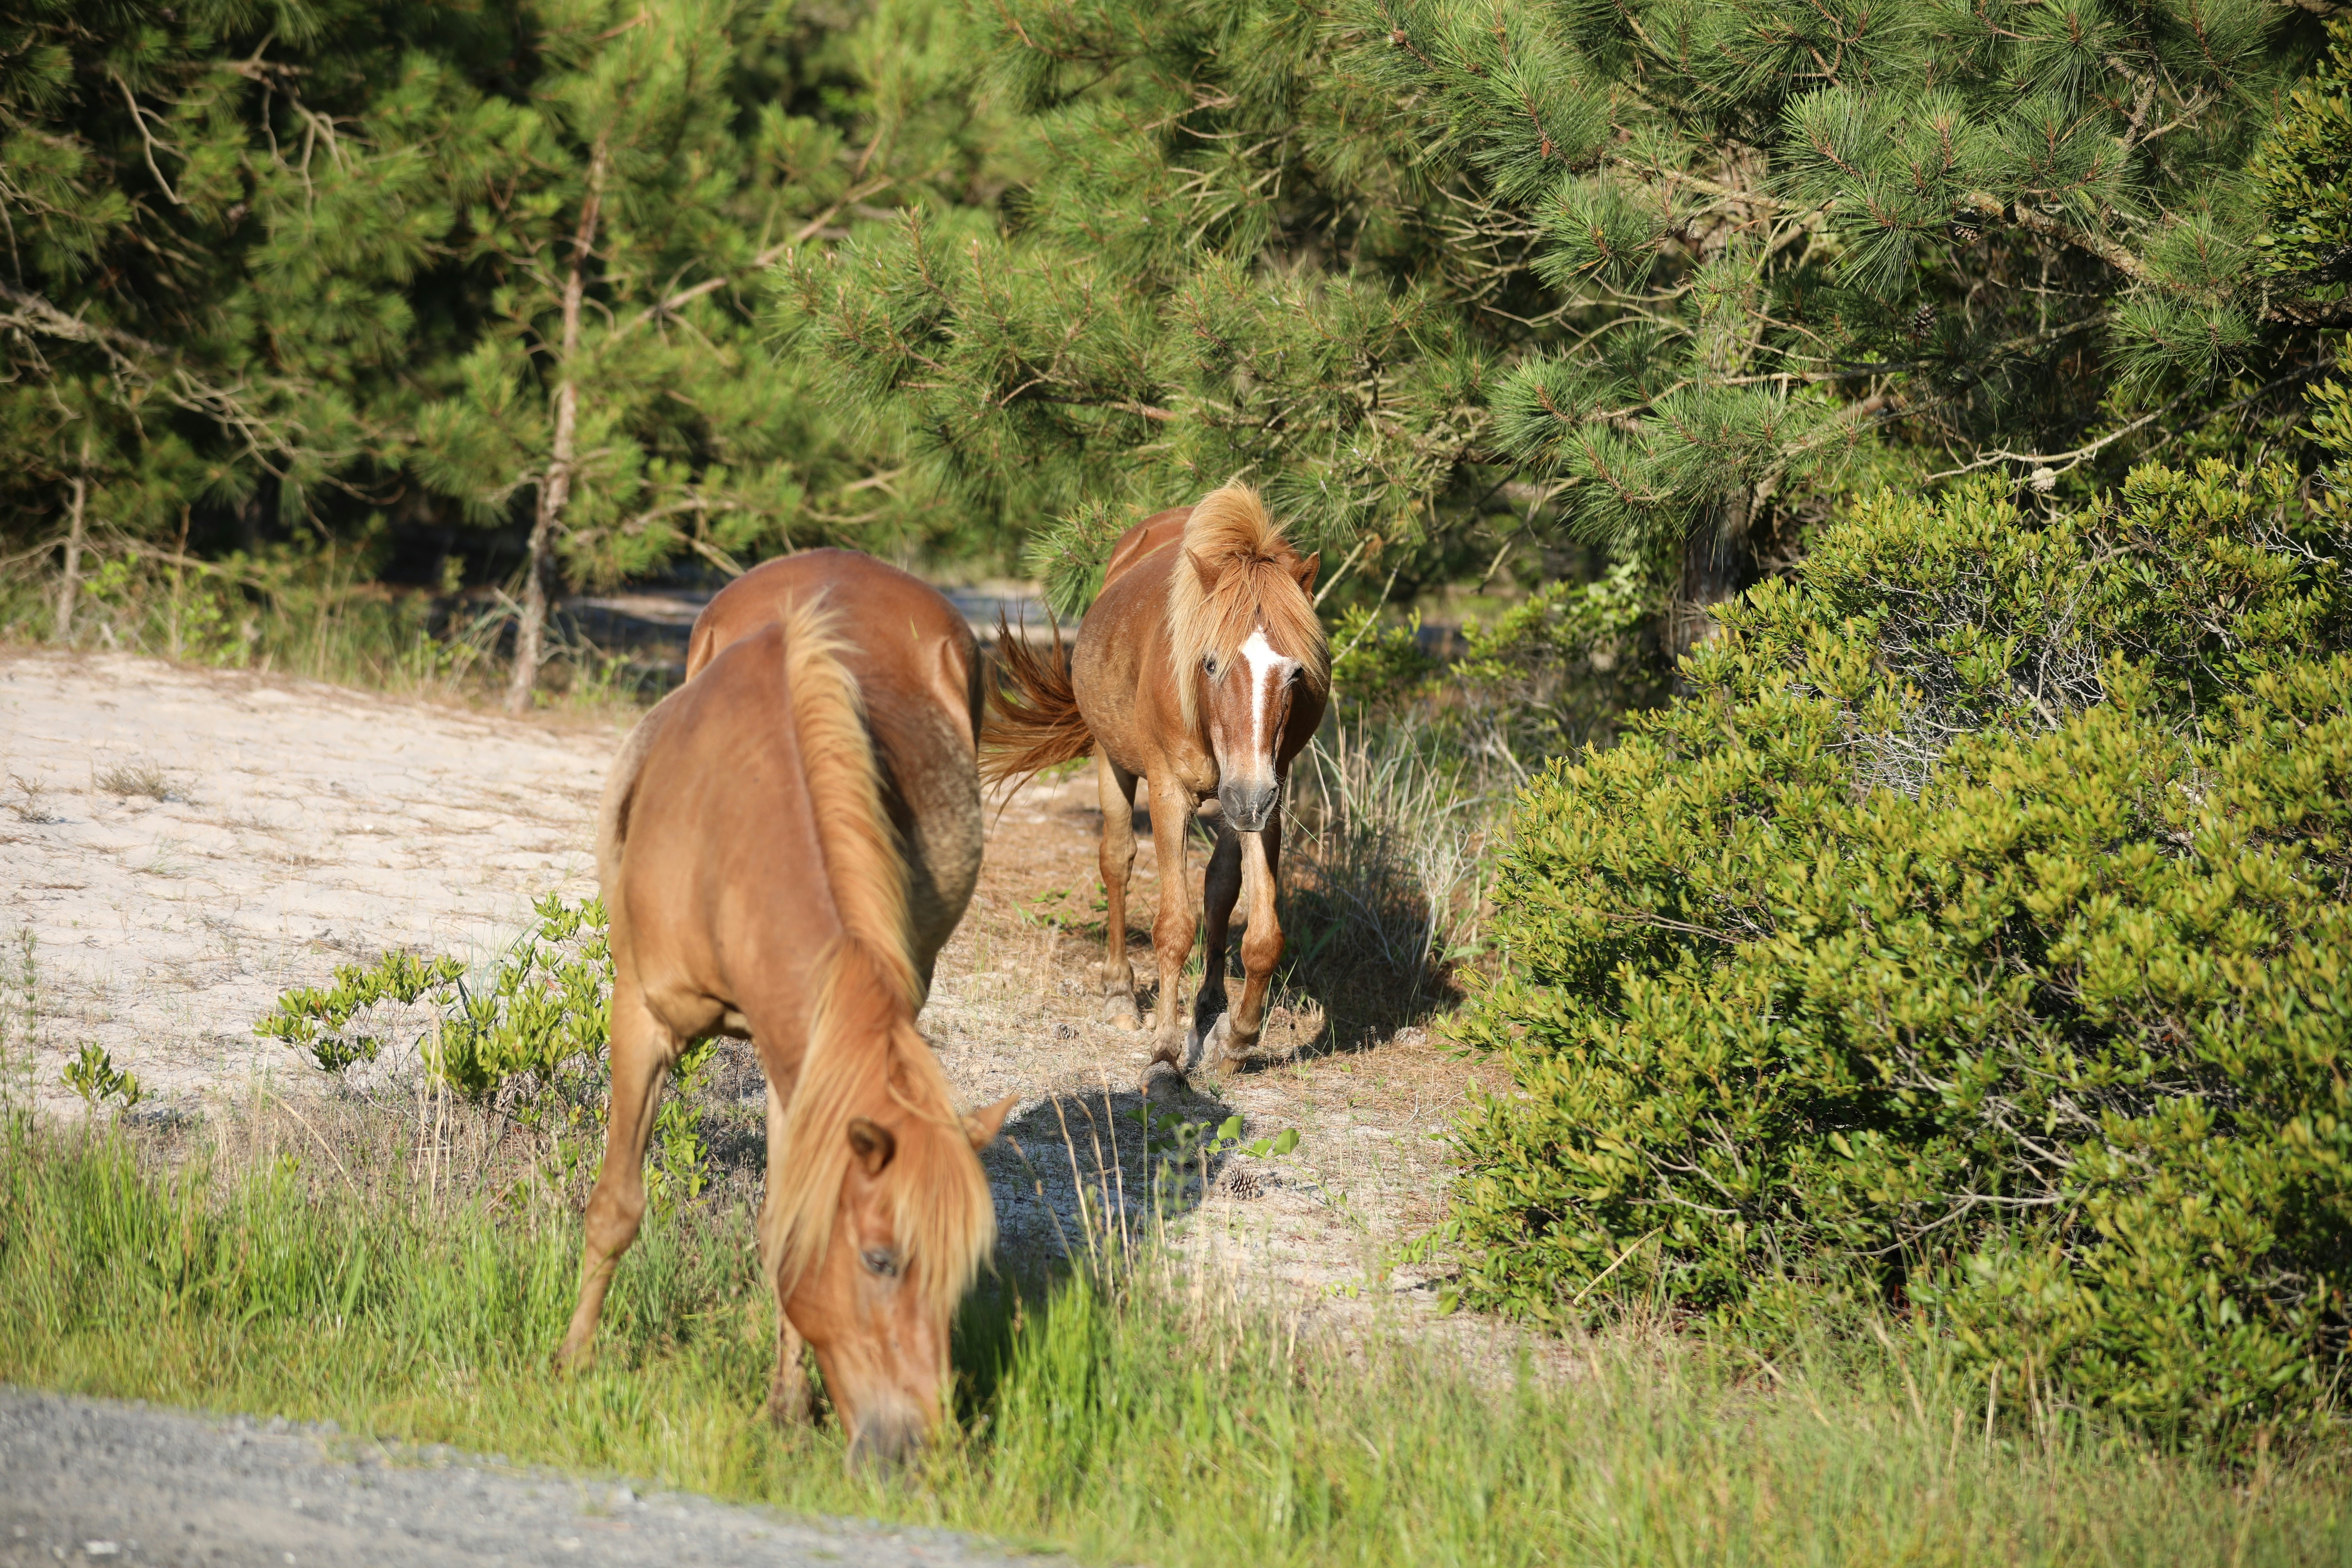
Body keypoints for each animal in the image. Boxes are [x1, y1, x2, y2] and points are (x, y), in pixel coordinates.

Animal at [556, 551, 1014, 1467]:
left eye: (961, 1275)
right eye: (881, 1260)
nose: (915, 1447)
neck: (734, 834)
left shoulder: (801, 1058)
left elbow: (783, 1227)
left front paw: (784, 1406)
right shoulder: (641, 1017)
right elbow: (616, 1204)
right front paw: (572, 1360)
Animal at [984, 481, 1328, 1093]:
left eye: (1295, 674)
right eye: (1210, 664)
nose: (1249, 796)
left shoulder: (1269, 797)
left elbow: (1262, 935)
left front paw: (1235, 1040)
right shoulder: (1171, 793)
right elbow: (1172, 927)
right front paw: (1166, 1057)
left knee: (1219, 887)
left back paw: (1210, 1006)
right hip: (1113, 762)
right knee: (1118, 861)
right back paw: (1120, 992)